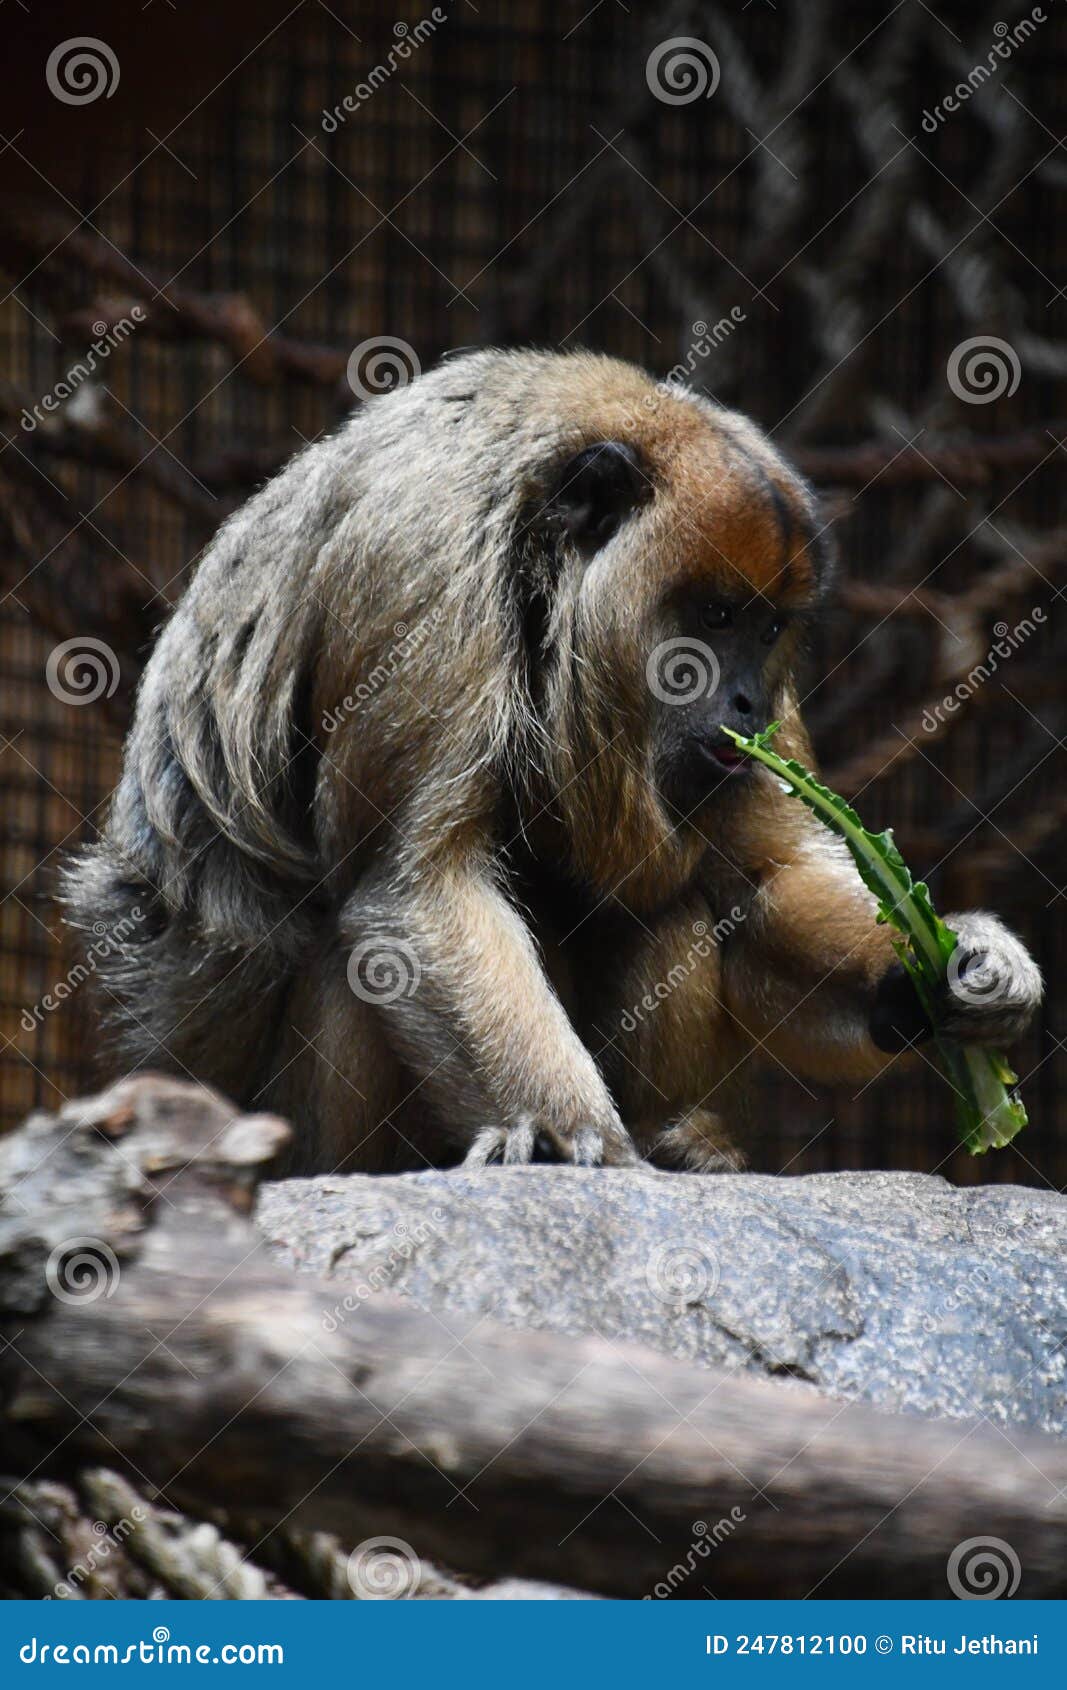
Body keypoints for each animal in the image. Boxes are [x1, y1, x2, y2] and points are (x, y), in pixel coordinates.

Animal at [63, 349, 1043, 1175]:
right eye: (712, 618)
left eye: (766, 629)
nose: (748, 706)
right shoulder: (424, 562)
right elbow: (416, 890)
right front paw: (574, 1142)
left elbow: (768, 882)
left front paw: (955, 972)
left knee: (669, 903)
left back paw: (683, 1138)